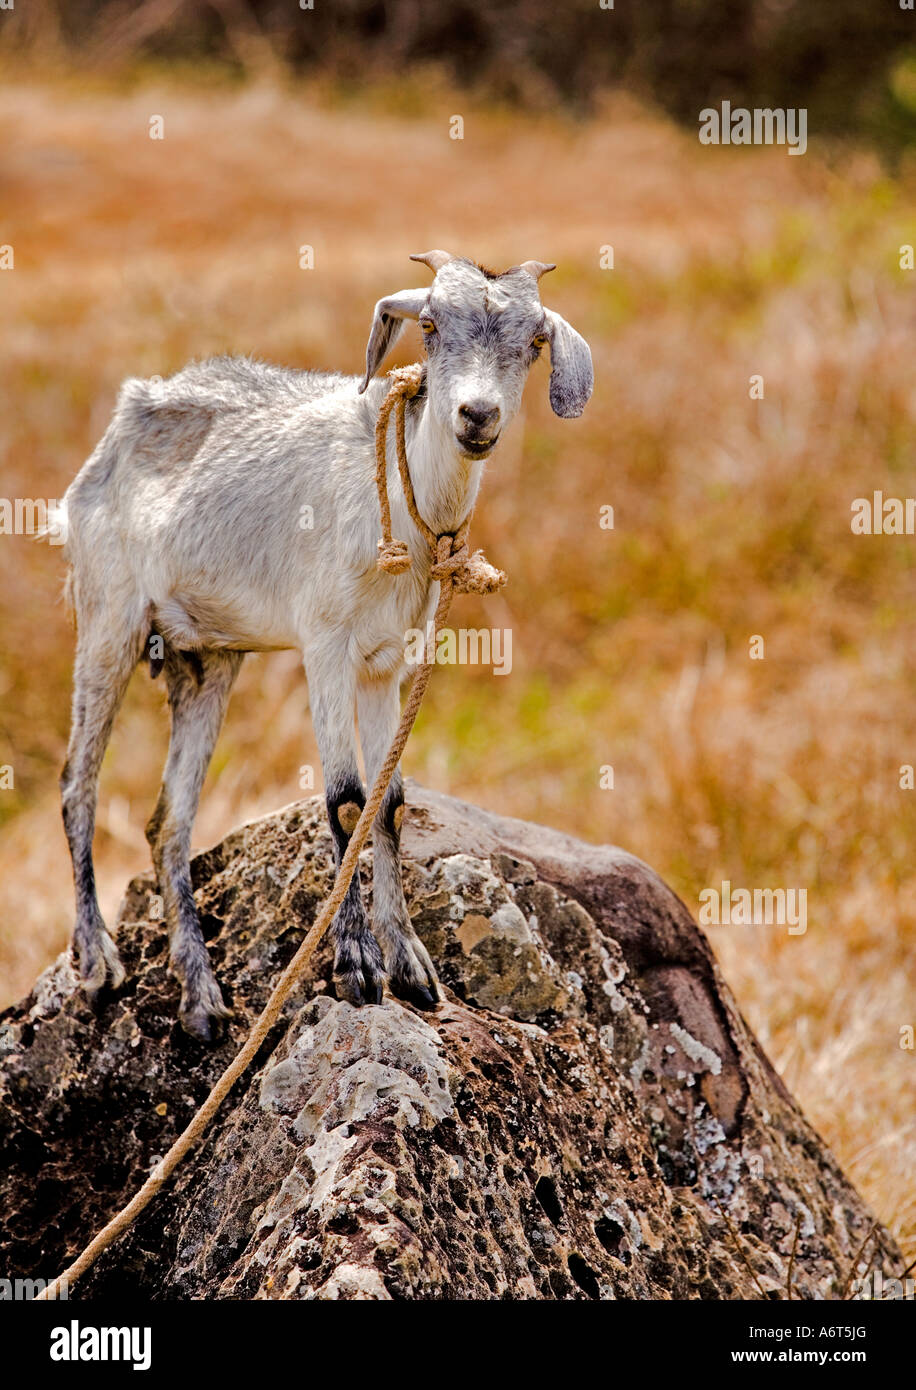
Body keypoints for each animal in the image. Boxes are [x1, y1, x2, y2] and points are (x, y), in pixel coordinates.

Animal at [57, 250, 594, 1041]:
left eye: (532, 342)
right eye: (430, 326)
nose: (477, 415)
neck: (395, 503)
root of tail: (125, 420)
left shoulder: (384, 663)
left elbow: (389, 803)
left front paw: (412, 966)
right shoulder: (325, 645)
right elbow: (343, 801)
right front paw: (357, 968)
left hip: (206, 660)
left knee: (167, 822)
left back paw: (202, 999)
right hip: (108, 617)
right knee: (77, 785)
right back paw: (98, 964)